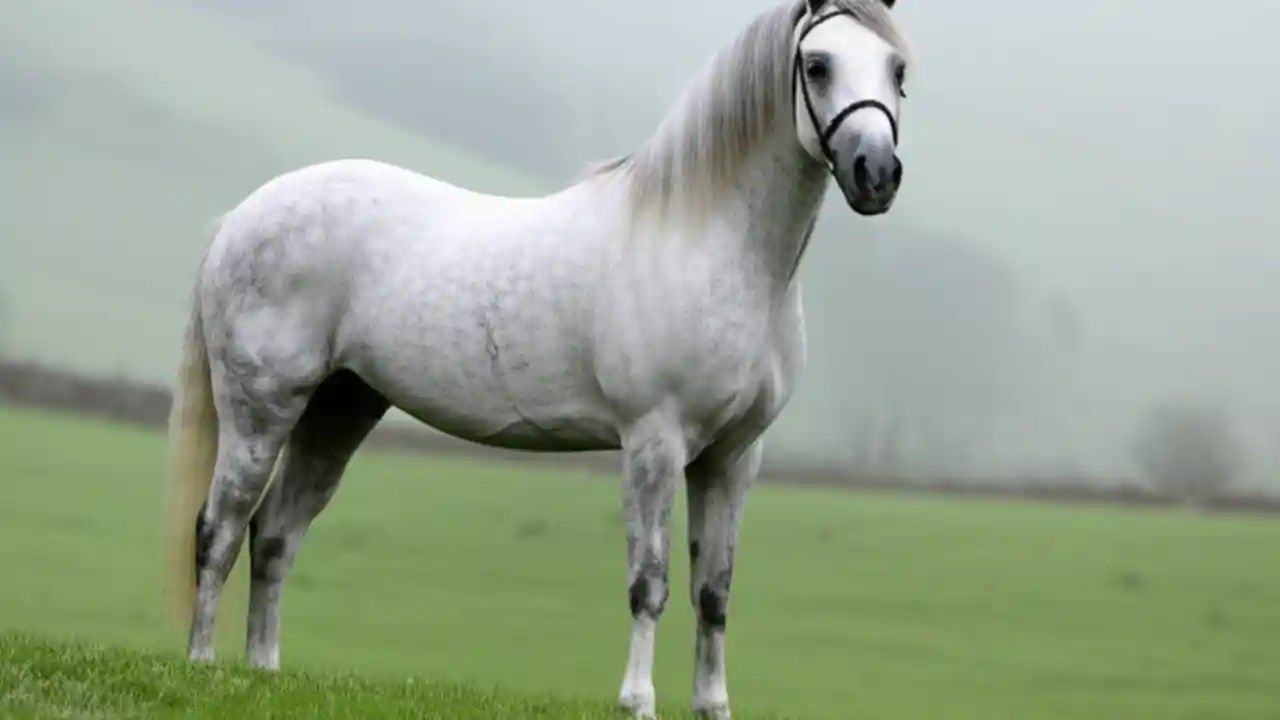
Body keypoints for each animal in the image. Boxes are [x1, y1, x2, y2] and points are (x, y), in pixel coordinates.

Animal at [163, 1, 914, 716]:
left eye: (898, 69)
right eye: (816, 65)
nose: (876, 173)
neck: (704, 239)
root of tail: (239, 219)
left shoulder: (733, 457)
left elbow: (715, 593)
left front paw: (712, 706)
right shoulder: (654, 442)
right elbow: (650, 583)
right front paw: (637, 701)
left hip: (338, 411)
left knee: (274, 536)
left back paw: (263, 672)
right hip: (261, 413)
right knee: (219, 528)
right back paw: (202, 666)